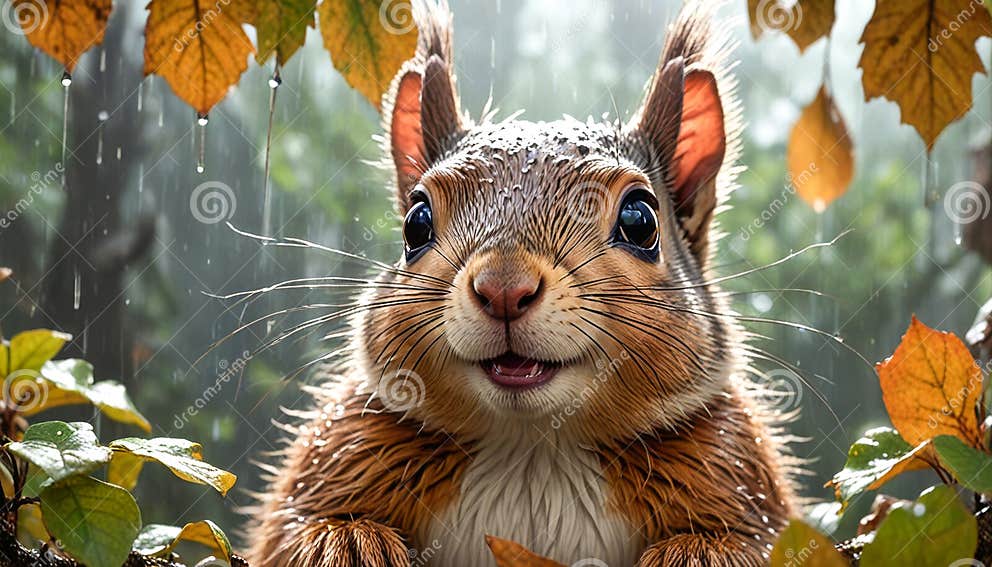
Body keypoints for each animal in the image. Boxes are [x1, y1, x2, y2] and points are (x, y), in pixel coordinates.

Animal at [247, 1, 796, 565]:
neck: (534, 444)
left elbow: (749, 542)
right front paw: (351, 543)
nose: (504, 288)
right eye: (415, 224)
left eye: (641, 221)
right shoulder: (339, 445)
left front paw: (695, 552)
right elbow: (291, 532)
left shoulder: (738, 467)